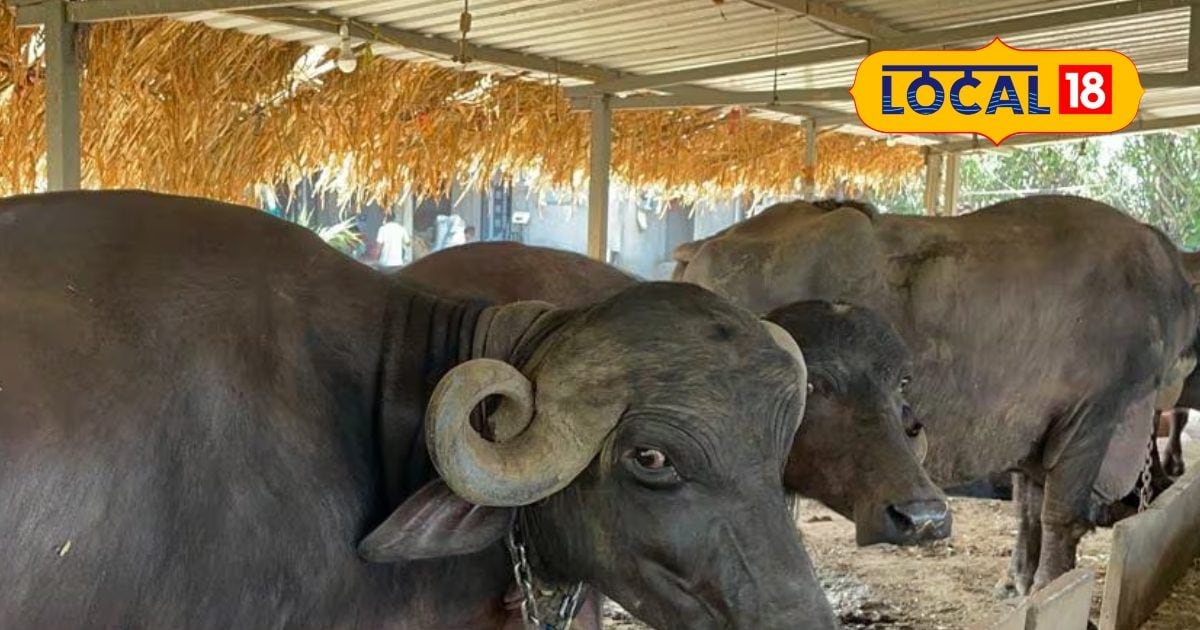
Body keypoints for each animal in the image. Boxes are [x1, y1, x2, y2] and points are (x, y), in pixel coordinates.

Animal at [670, 195, 1198, 595]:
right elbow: (1061, 516)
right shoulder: (1094, 417)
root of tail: (704, 245)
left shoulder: (1040, 435)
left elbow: (1029, 509)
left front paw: (1020, 583)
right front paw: (1050, 588)